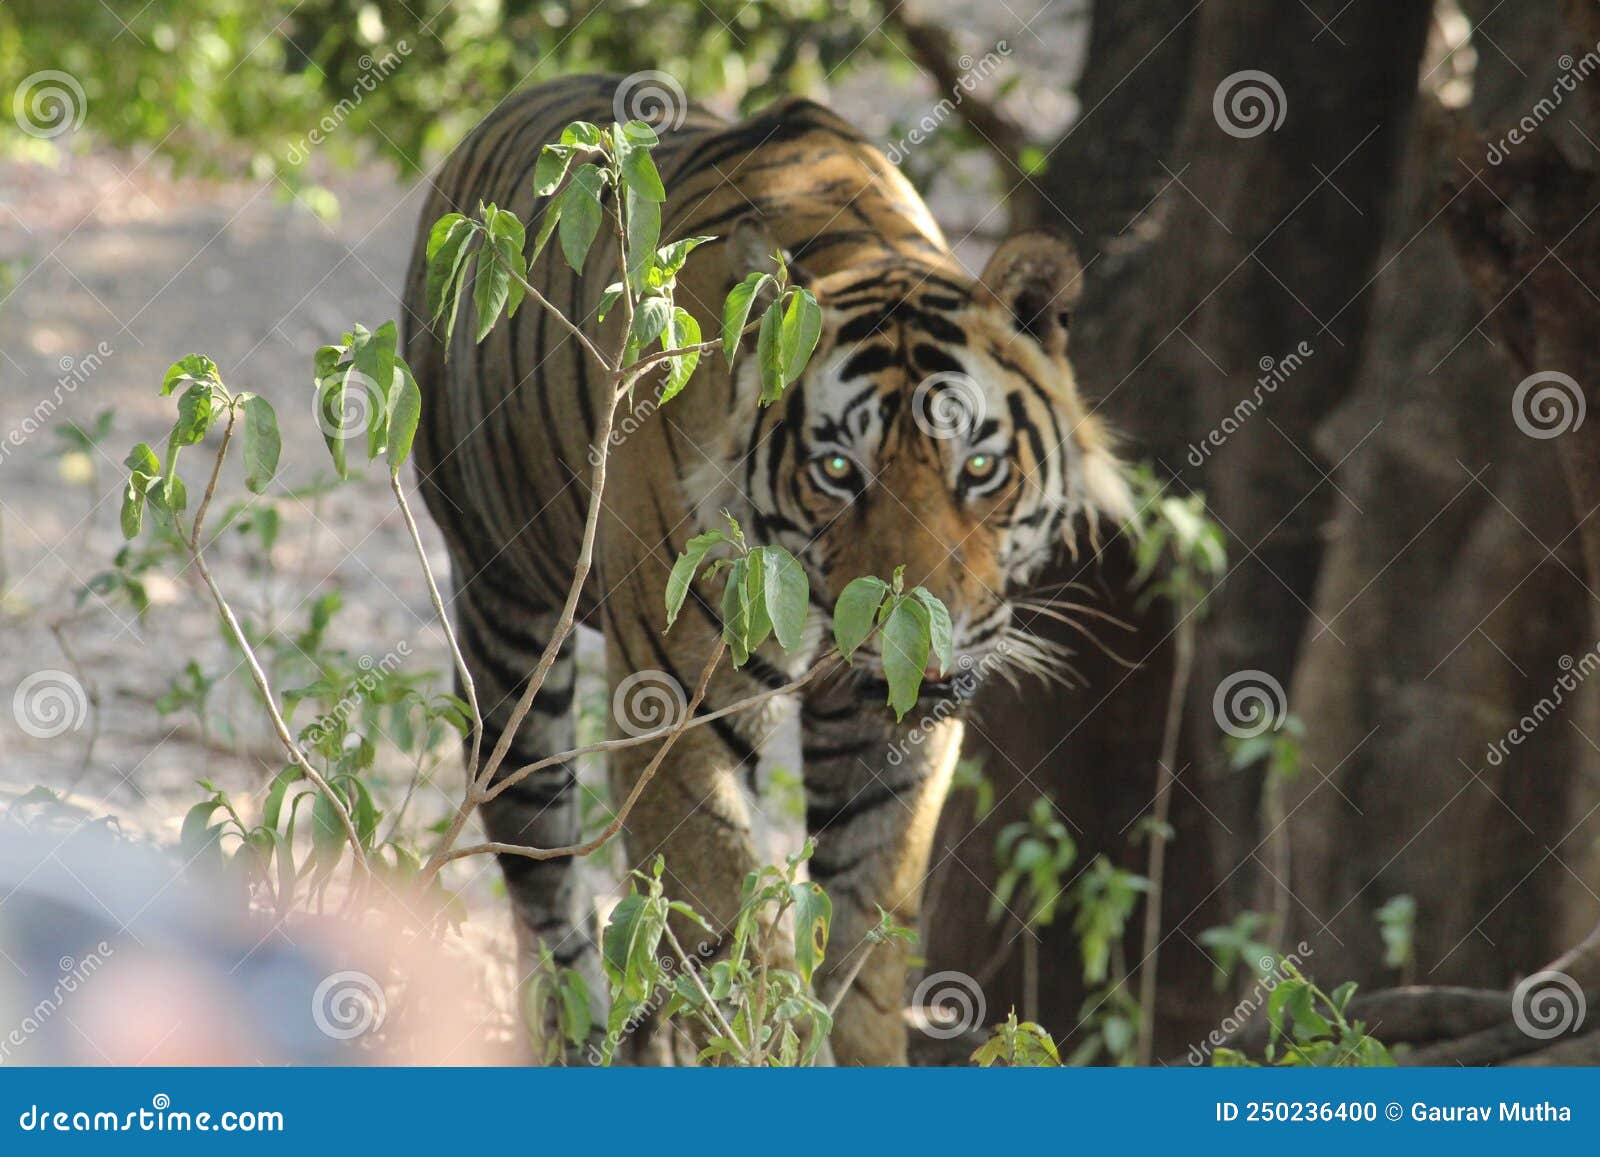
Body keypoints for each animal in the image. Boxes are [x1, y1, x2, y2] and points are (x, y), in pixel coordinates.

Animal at [402, 73, 1130, 1065]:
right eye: (838, 471)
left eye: (978, 467)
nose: (910, 636)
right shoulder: (676, 704)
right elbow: (735, 931)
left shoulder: (894, 740)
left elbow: (864, 941)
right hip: (505, 620)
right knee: (545, 889)